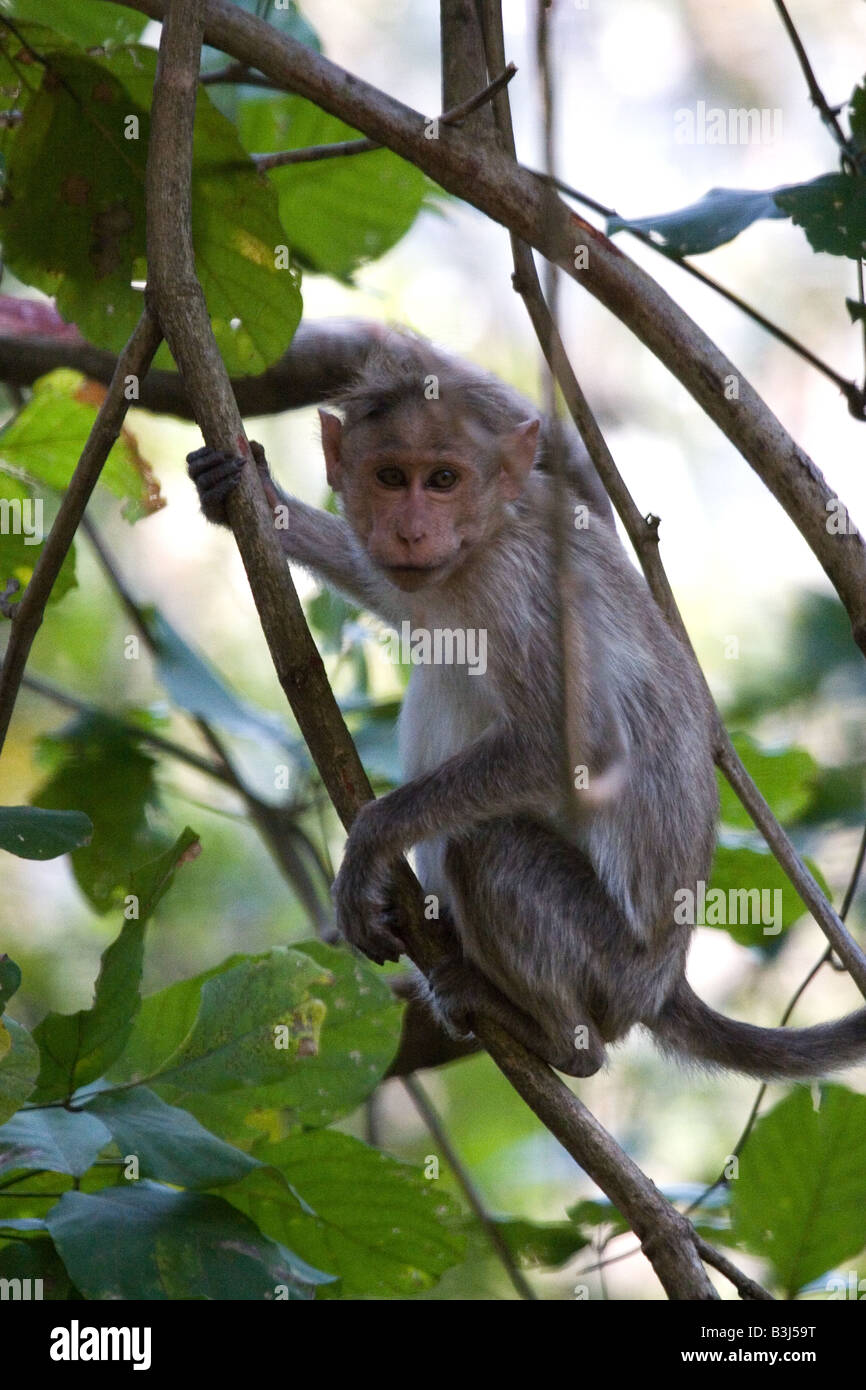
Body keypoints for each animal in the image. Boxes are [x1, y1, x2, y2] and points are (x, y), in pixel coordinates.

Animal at [188, 328, 866, 1081]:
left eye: (443, 480)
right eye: (391, 477)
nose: (411, 531)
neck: (485, 535)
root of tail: (663, 984)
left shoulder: (516, 589)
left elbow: (580, 747)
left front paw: (369, 840)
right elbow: (395, 594)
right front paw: (253, 494)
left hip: (603, 960)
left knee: (487, 845)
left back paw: (561, 1043)